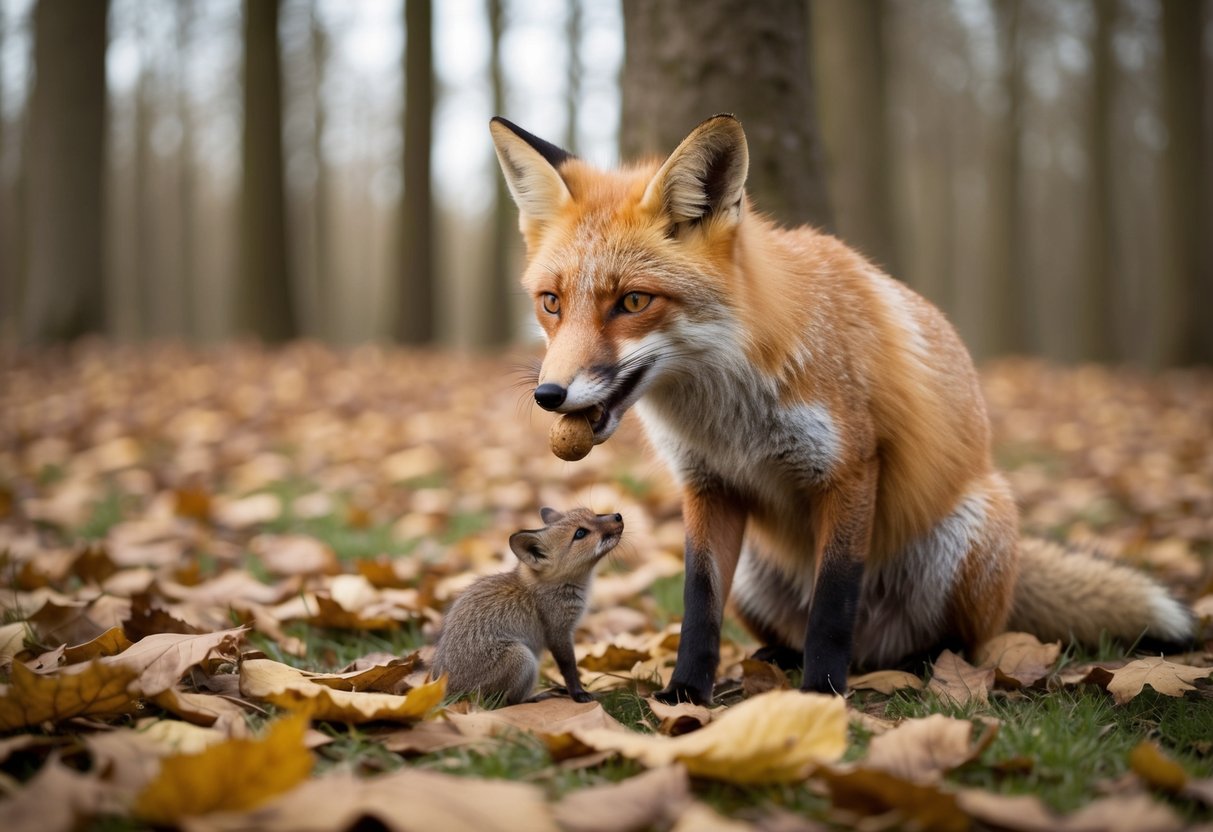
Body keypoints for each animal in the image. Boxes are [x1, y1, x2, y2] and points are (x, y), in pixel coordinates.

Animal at [432, 507, 624, 705]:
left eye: (593, 514)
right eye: (580, 533)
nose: (618, 516)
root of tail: (447, 692)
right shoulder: (558, 633)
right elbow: (569, 668)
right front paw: (578, 693)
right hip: (522, 657)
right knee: (507, 702)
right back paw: (539, 695)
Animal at [488, 114, 1194, 705]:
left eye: (633, 302)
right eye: (552, 303)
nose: (549, 395)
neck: (730, 410)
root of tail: (875, 649)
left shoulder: (851, 468)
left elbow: (833, 600)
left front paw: (821, 696)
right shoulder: (708, 485)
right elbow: (698, 604)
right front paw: (686, 694)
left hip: (969, 537)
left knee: (961, 640)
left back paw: (918, 667)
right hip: (760, 575)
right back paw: (777, 657)